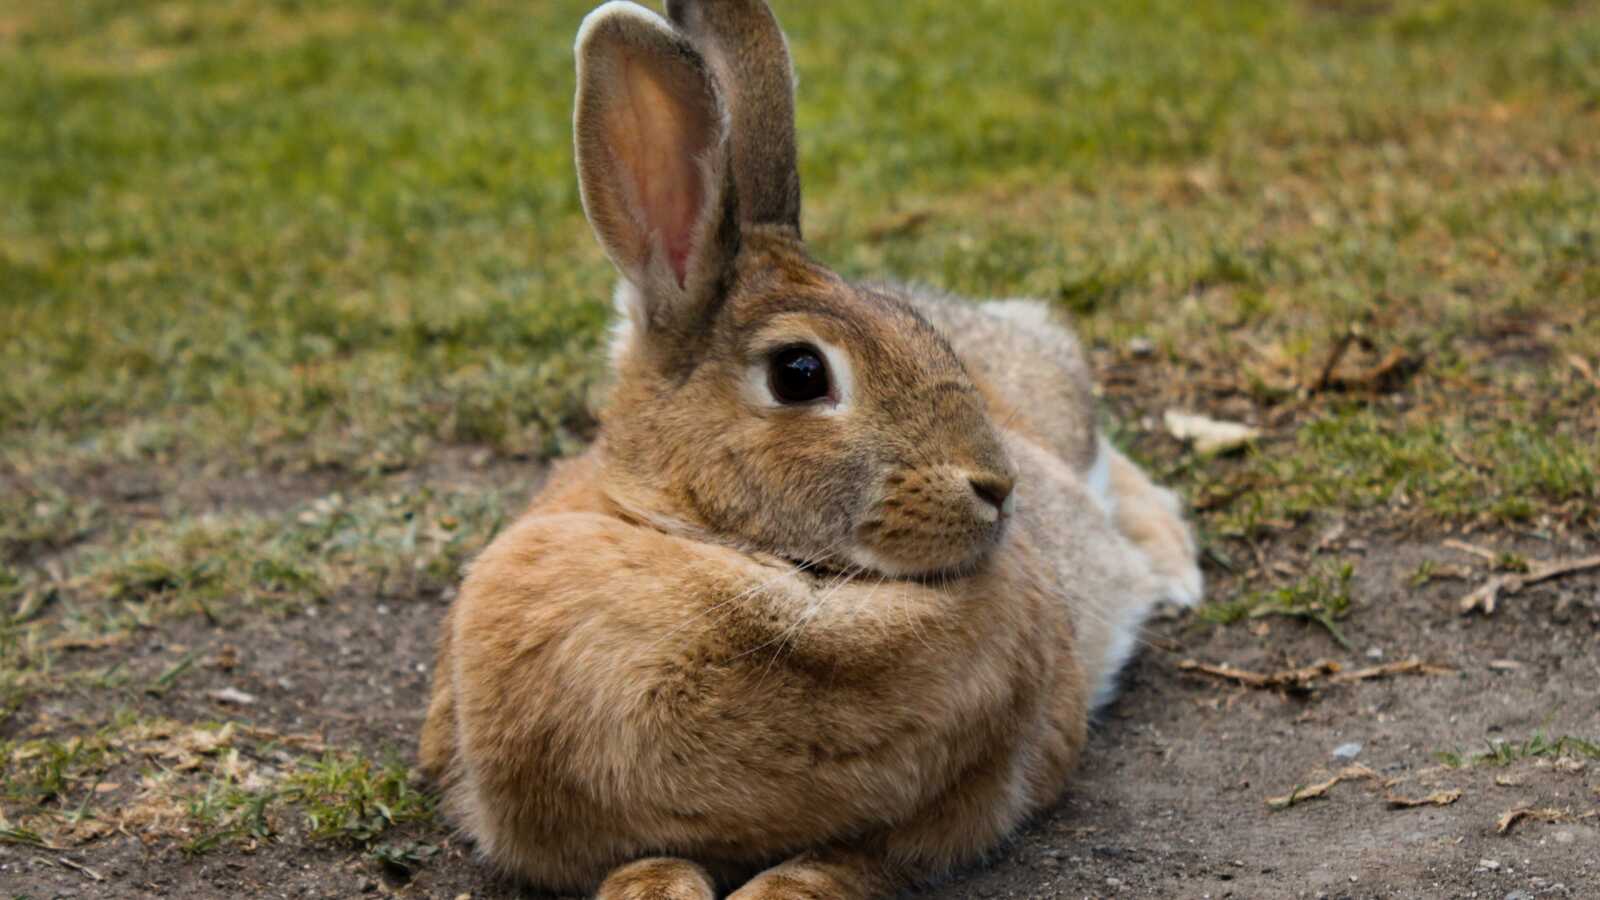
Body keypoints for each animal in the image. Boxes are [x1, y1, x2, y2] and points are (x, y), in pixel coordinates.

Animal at [418, 1, 1203, 897]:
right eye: (799, 373)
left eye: (915, 328)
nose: (997, 488)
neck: (711, 541)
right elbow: (646, 861)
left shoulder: (933, 822)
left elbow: (838, 863)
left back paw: (1172, 573)